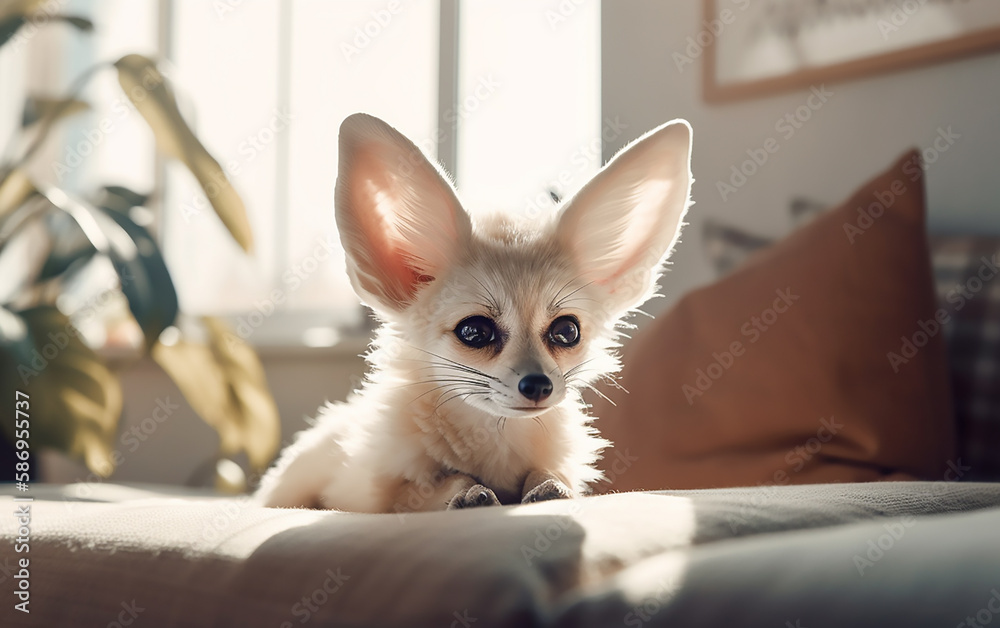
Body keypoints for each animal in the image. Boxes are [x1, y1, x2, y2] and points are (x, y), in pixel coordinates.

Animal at [254, 113, 693, 512]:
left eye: (567, 332)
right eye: (475, 332)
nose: (538, 385)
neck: (495, 438)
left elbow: (550, 474)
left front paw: (547, 486)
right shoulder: (385, 491)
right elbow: (436, 483)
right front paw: (467, 491)